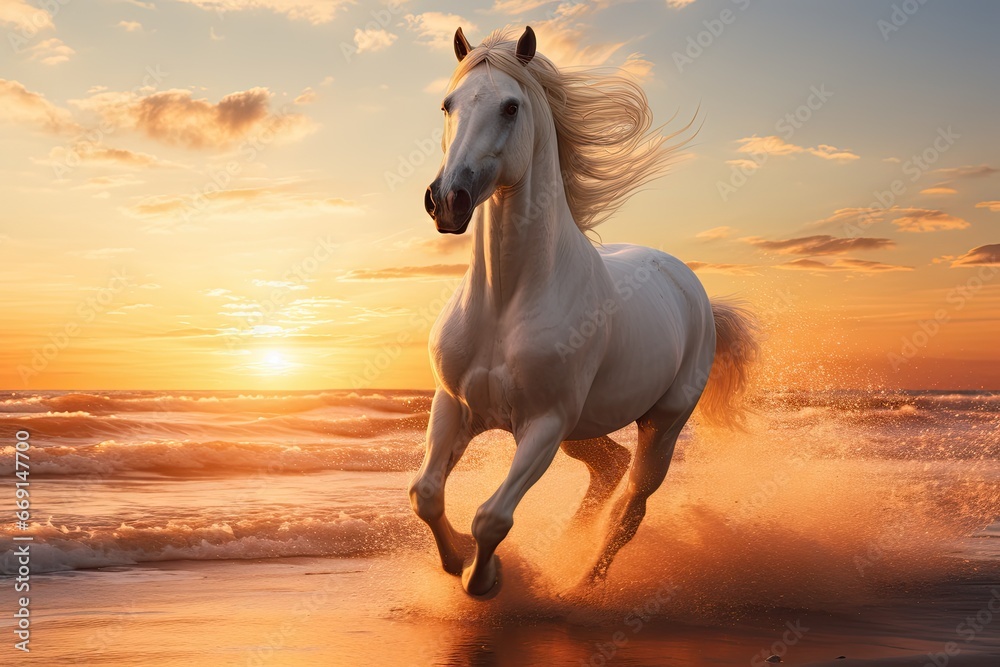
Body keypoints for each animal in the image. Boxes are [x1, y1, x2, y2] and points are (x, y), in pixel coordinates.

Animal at [408, 26, 760, 597]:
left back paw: (579, 585)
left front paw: (485, 580)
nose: (447, 200)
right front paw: (458, 558)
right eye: (448, 103)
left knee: (632, 504)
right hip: (586, 429)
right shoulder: (454, 406)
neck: (506, 301)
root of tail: (692, 289)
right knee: (609, 469)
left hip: (661, 424)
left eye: (510, 107)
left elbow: (493, 517)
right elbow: (426, 493)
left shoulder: (545, 424)